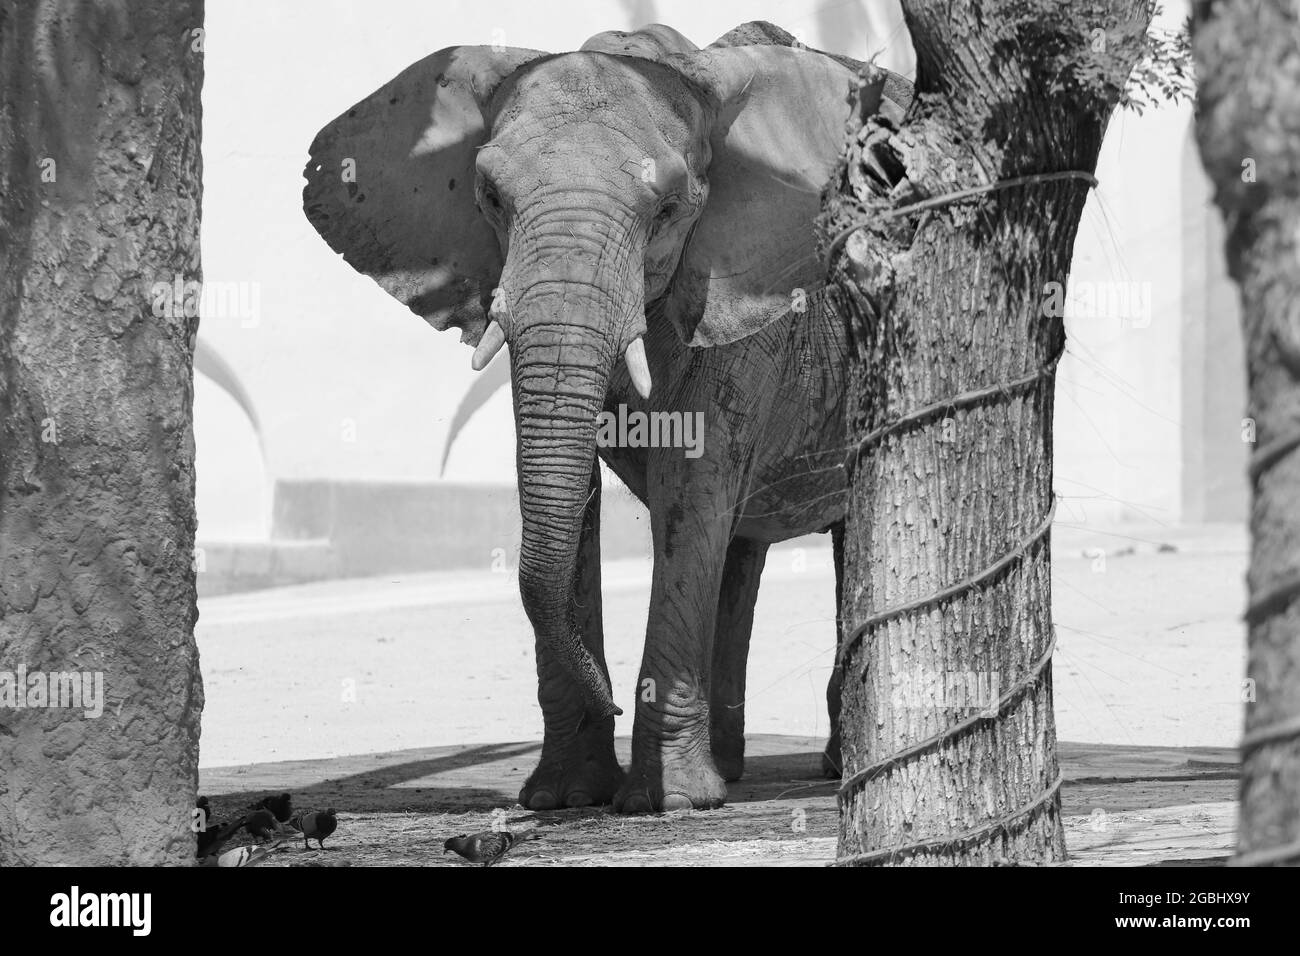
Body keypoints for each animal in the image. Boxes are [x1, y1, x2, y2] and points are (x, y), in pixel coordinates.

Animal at [302, 21, 912, 812]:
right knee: (741, 547)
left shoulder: (742, 297)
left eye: (669, 210)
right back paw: (730, 766)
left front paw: (667, 803)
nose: (616, 701)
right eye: (488, 196)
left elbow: (691, 488)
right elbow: (571, 493)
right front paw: (565, 798)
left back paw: (828, 764)